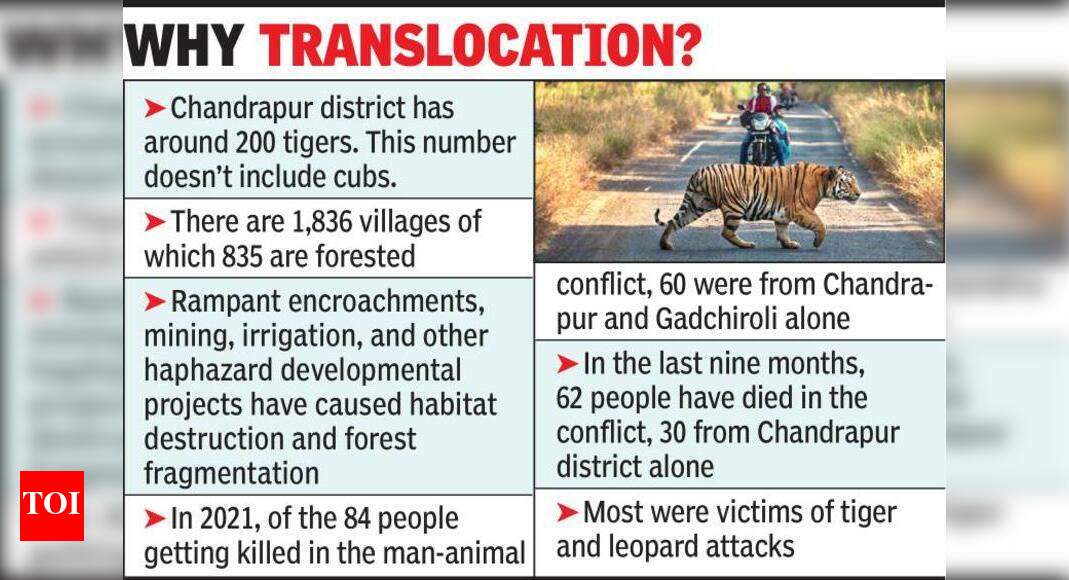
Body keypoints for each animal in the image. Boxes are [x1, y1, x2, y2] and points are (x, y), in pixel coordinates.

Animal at [654, 162, 862, 250]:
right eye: (848, 183)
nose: (859, 193)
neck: (822, 182)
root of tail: (699, 172)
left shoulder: (784, 214)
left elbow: (782, 231)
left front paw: (789, 244)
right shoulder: (801, 209)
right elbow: (820, 224)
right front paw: (817, 242)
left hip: (697, 204)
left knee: (675, 222)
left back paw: (666, 245)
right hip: (735, 206)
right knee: (726, 232)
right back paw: (747, 245)